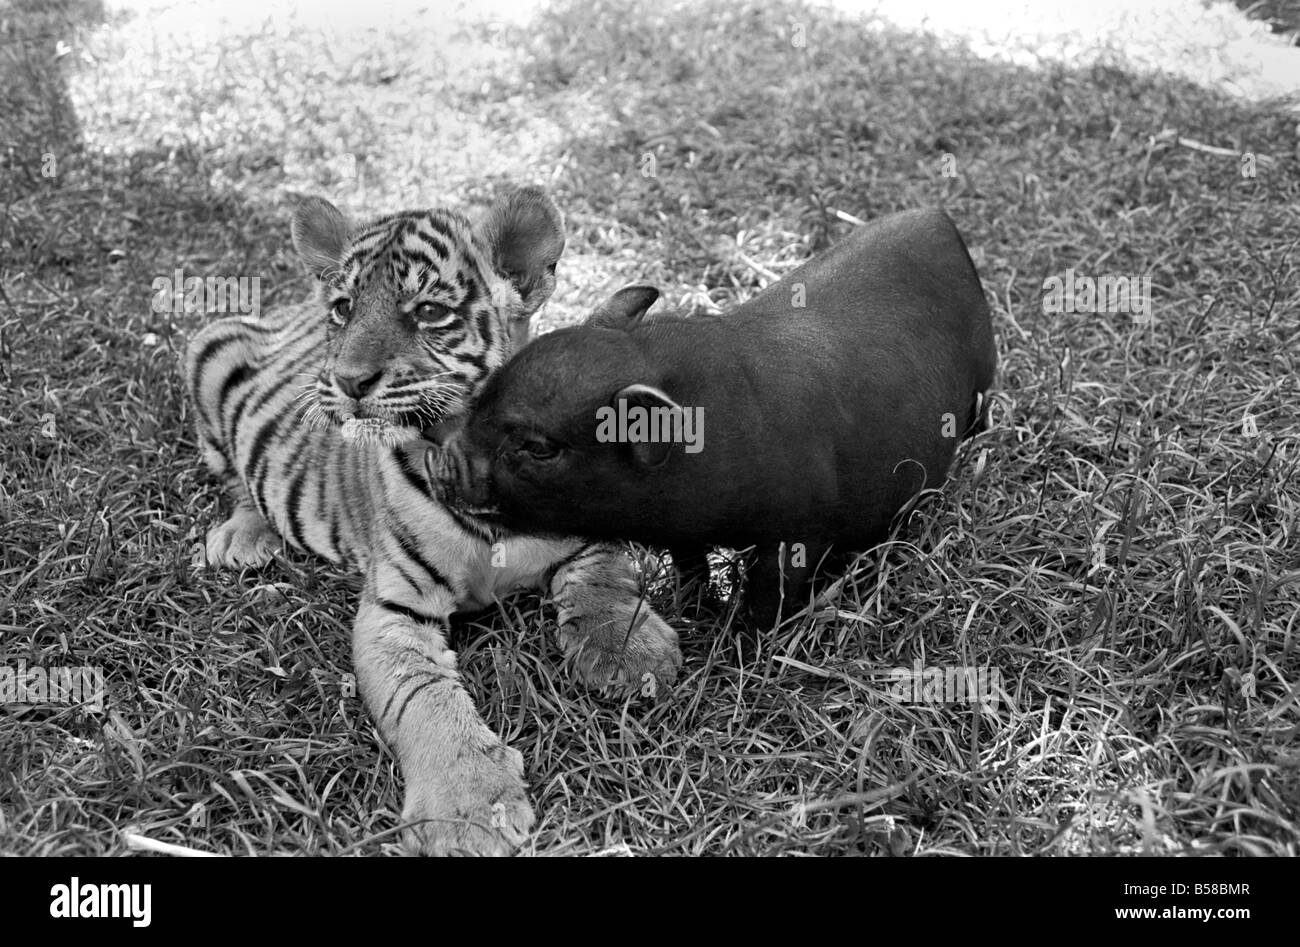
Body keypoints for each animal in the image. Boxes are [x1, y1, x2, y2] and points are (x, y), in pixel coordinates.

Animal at [183, 186, 682, 856]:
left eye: (428, 312)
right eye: (344, 308)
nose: (345, 380)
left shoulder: (582, 530)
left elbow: (606, 575)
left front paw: (629, 651)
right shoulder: (394, 609)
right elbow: (423, 697)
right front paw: (470, 809)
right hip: (209, 349)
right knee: (232, 473)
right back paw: (244, 534)